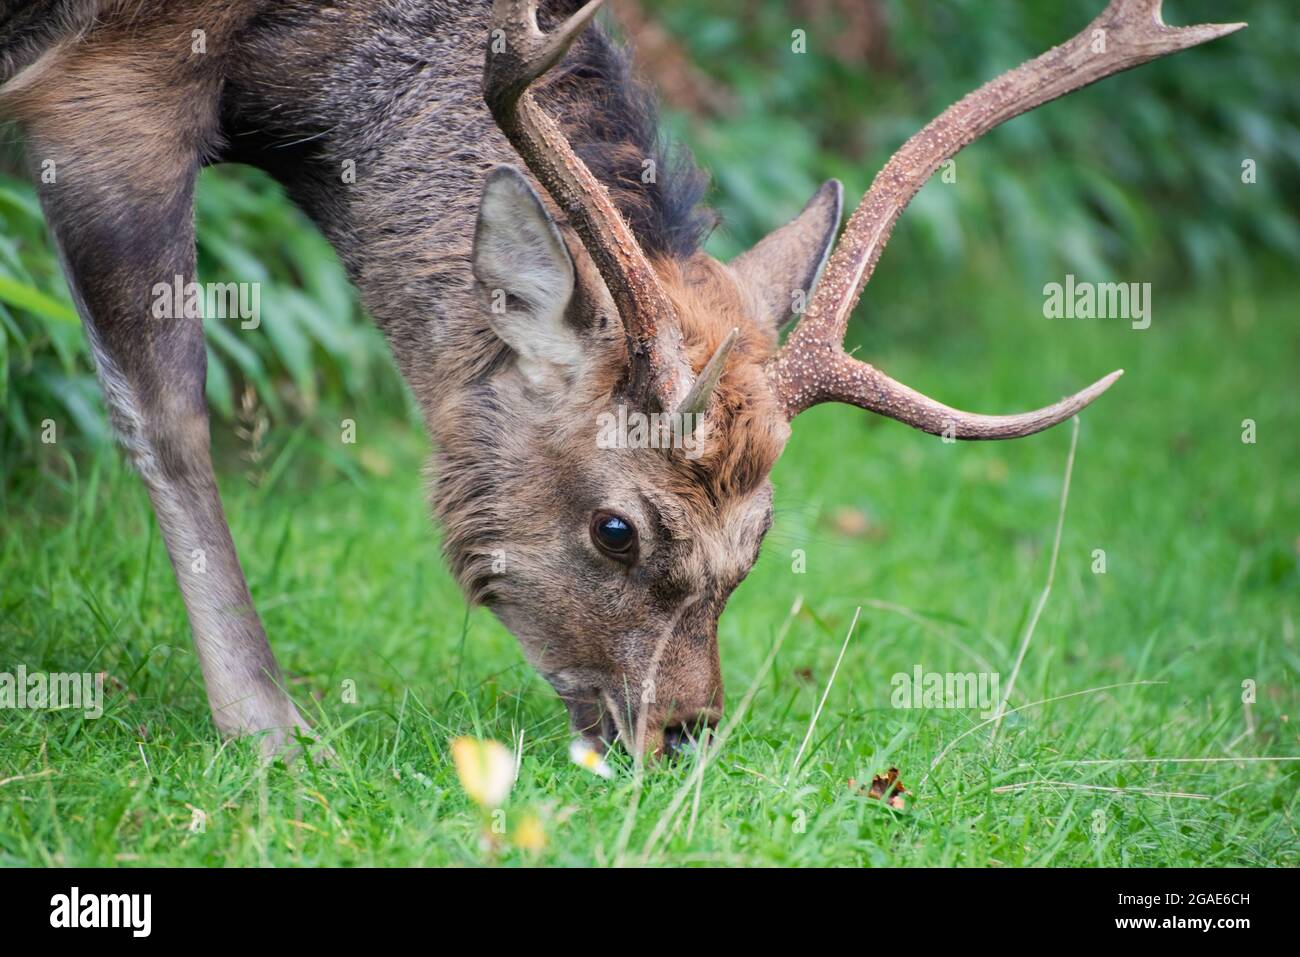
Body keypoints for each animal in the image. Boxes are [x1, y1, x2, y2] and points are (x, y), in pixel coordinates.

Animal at [0, 0, 1243, 760]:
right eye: (616, 530)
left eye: (760, 540)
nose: (684, 734)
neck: (289, 72)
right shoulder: (106, 84)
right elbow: (165, 410)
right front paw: (269, 729)